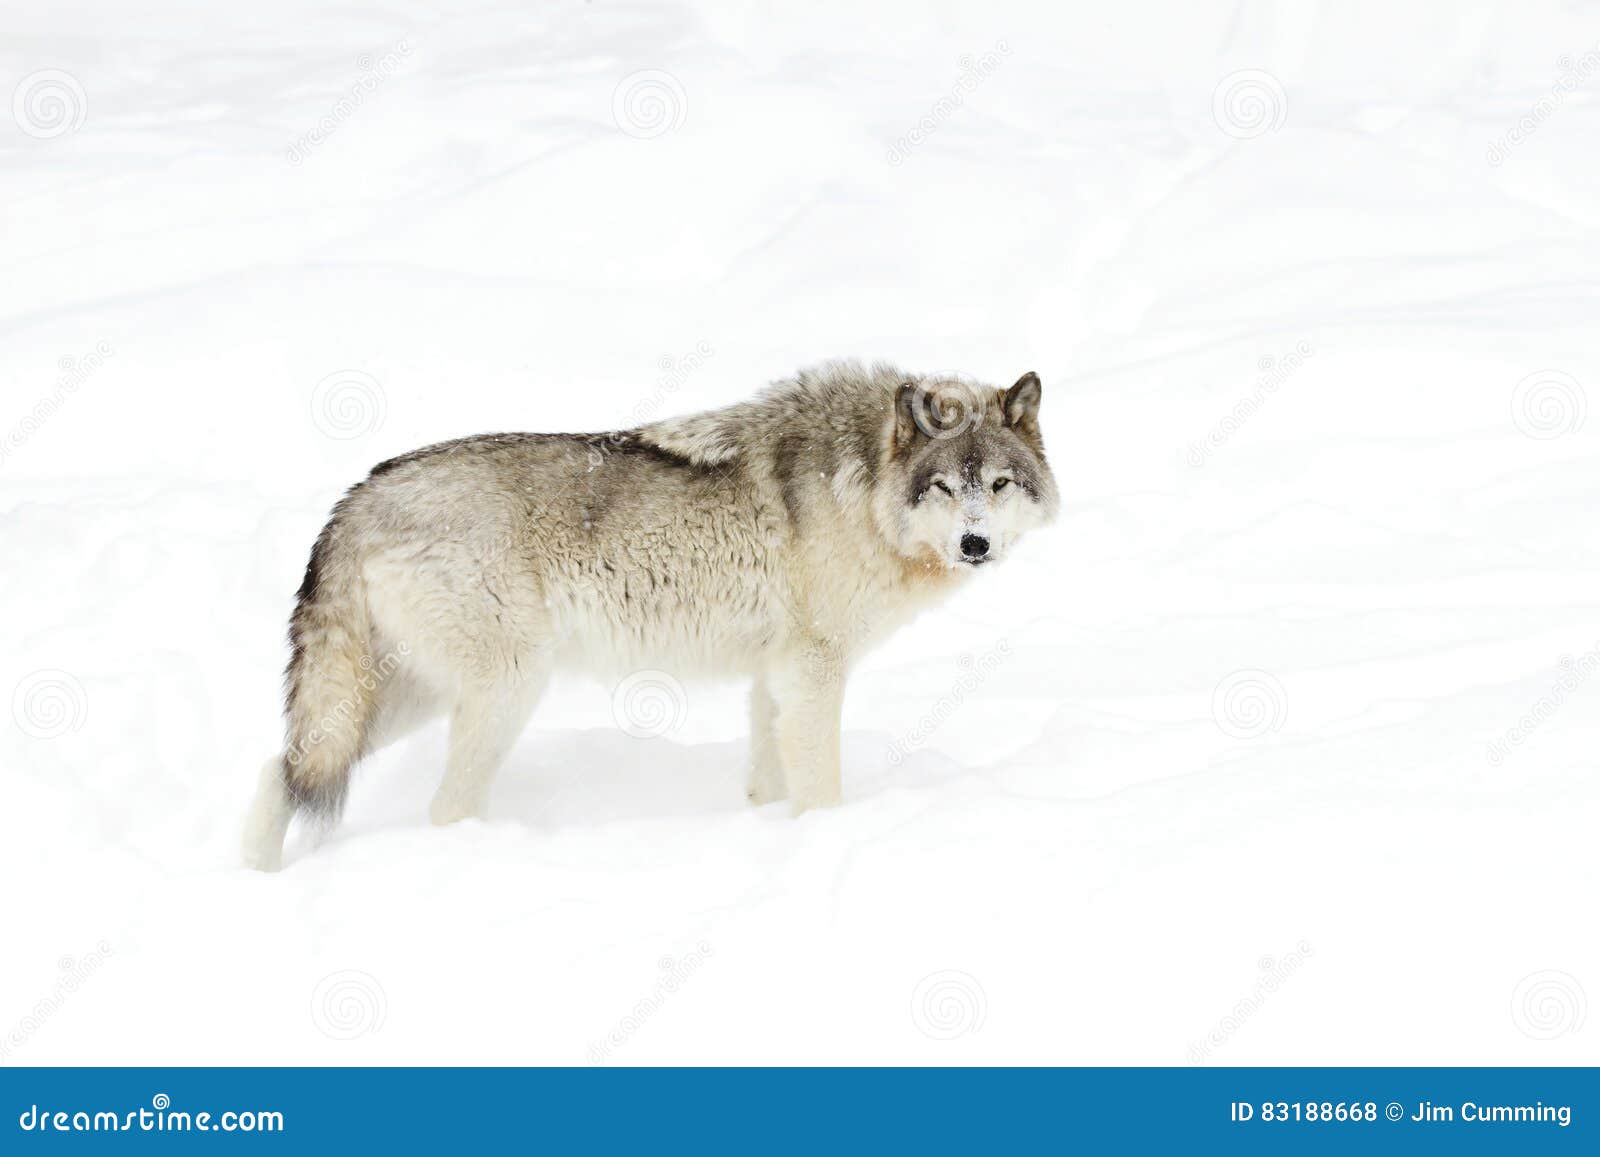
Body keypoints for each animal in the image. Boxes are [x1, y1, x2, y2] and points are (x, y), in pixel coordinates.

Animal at [243, 361, 1057, 870]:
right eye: (944, 486)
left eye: (998, 483)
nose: (976, 543)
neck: (861, 491)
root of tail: (355, 498)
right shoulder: (814, 671)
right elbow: (820, 788)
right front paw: (823, 836)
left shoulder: (774, 675)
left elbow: (768, 782)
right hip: (504, 688)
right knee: (439, 805)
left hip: (401, 699)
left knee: (279, 770)